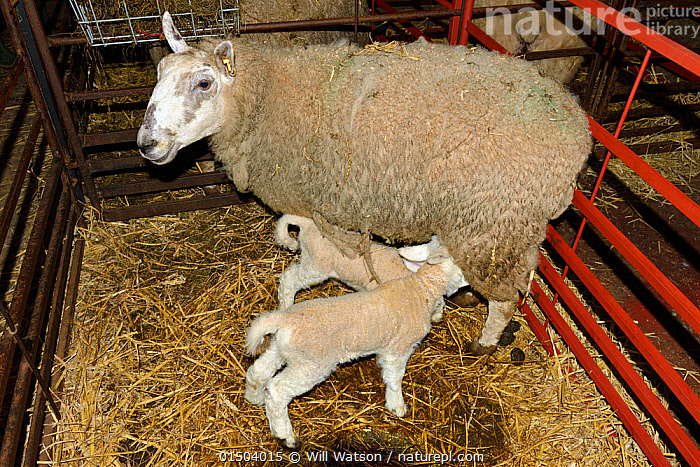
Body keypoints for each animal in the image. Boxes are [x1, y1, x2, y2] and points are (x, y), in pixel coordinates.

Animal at [244, 247, 465, 448]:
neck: (421, 290)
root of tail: (284, 320)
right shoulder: (398, 348)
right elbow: (395, 377)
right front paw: (397, 406)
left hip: (281, 350)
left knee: (258, 371)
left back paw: (254, 399)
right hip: (311, 364)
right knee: (277, 391)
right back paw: (286, 437)